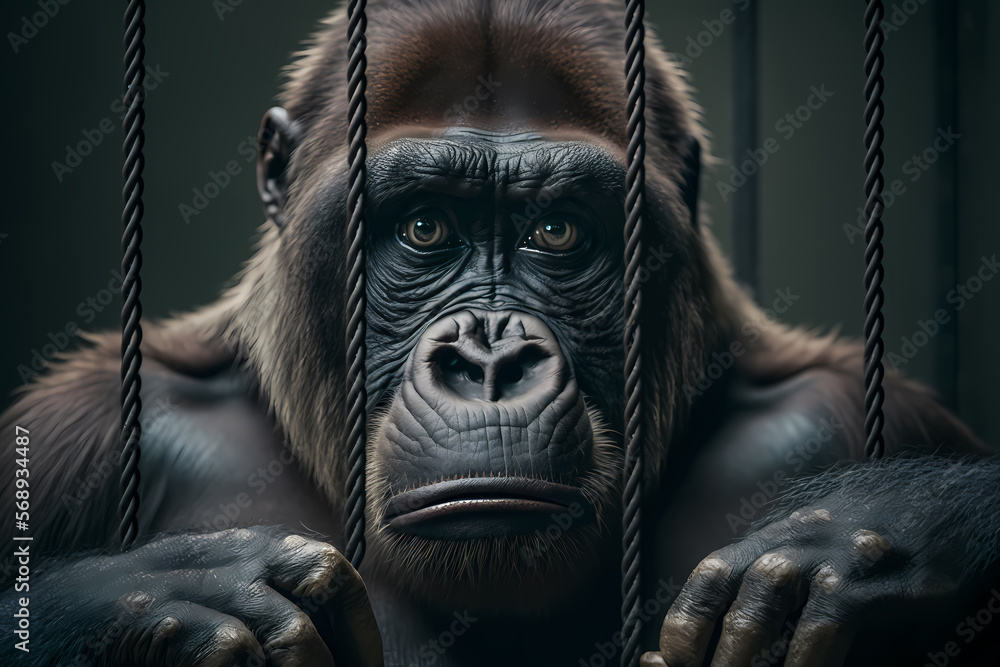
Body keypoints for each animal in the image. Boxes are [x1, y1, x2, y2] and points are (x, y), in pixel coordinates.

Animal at [2, 1, 999, 665]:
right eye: (424, 227)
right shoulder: (83, 430)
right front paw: (162, 599)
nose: (488, 357)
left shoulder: (841, 412)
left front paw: (876, 545)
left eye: (557, 230)